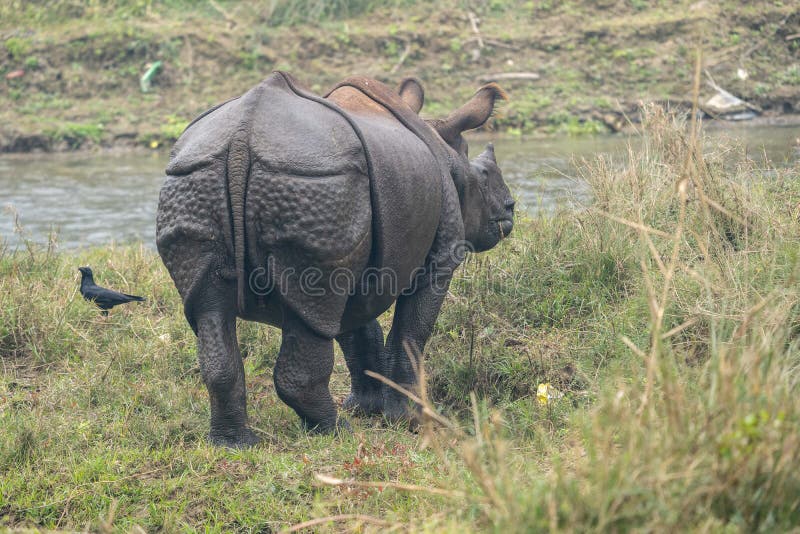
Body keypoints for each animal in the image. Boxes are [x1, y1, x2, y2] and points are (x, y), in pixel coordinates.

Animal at [156, 72, 514, 447]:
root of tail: (242, 140)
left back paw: (236, 443)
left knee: (212, 309)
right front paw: (412, 419)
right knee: (308, 306)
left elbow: (357, 332)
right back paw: (335, 432)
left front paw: (367, 409)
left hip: (199, 179)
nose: (511, 208)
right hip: (313, 181)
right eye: (484, 178)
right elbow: (410, 331)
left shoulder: (356, 253)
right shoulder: (441, 258)